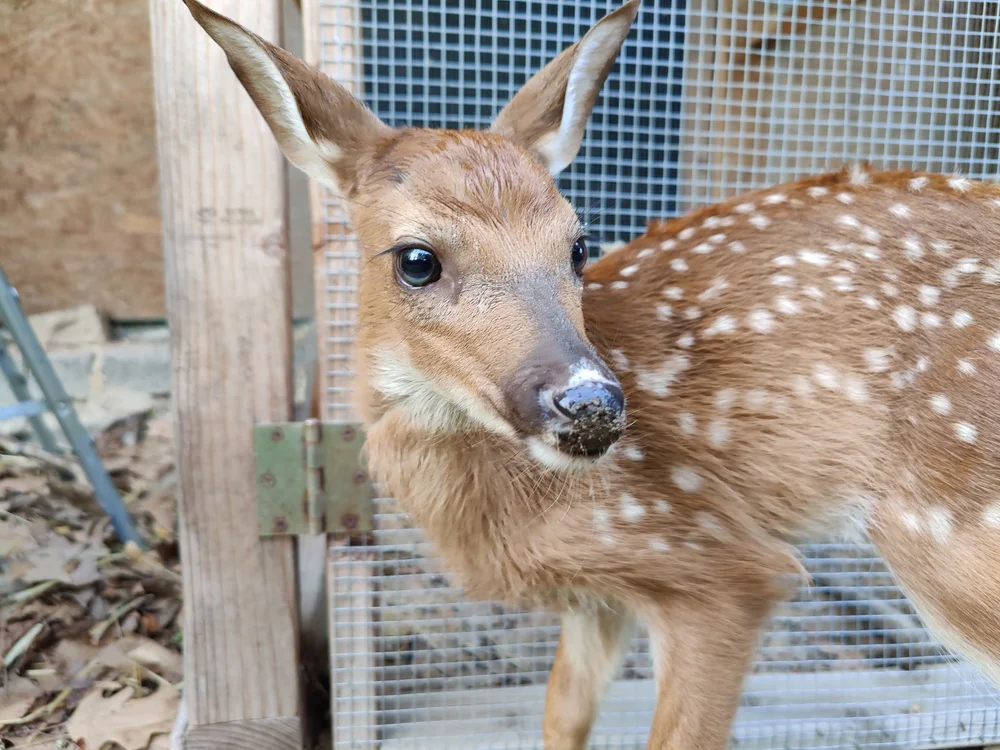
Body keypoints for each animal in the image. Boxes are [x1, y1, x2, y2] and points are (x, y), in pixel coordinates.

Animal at [182, 1, 1000, 748]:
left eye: (577, 246)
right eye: (416, 259)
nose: (592, 403)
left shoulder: (716, 558)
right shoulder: (600, 596)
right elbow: (564, 714)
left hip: (948, 539)